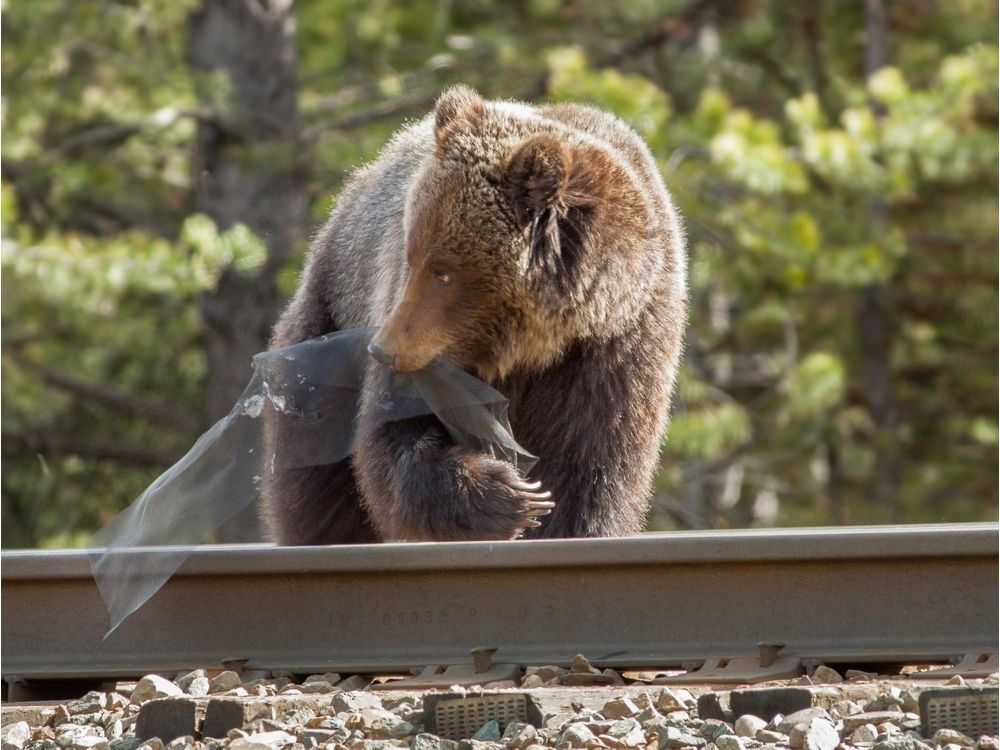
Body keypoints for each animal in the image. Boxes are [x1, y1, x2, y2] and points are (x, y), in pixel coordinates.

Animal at [262, 84, 687, 544]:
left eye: (443, 271)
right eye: (411, 255)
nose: (383, 348)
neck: (533, 345)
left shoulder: (618, 347)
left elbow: (594, 465)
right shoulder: (423, 344)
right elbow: (393, 435)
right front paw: (509, 495)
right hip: (329, 313)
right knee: (315, 472)